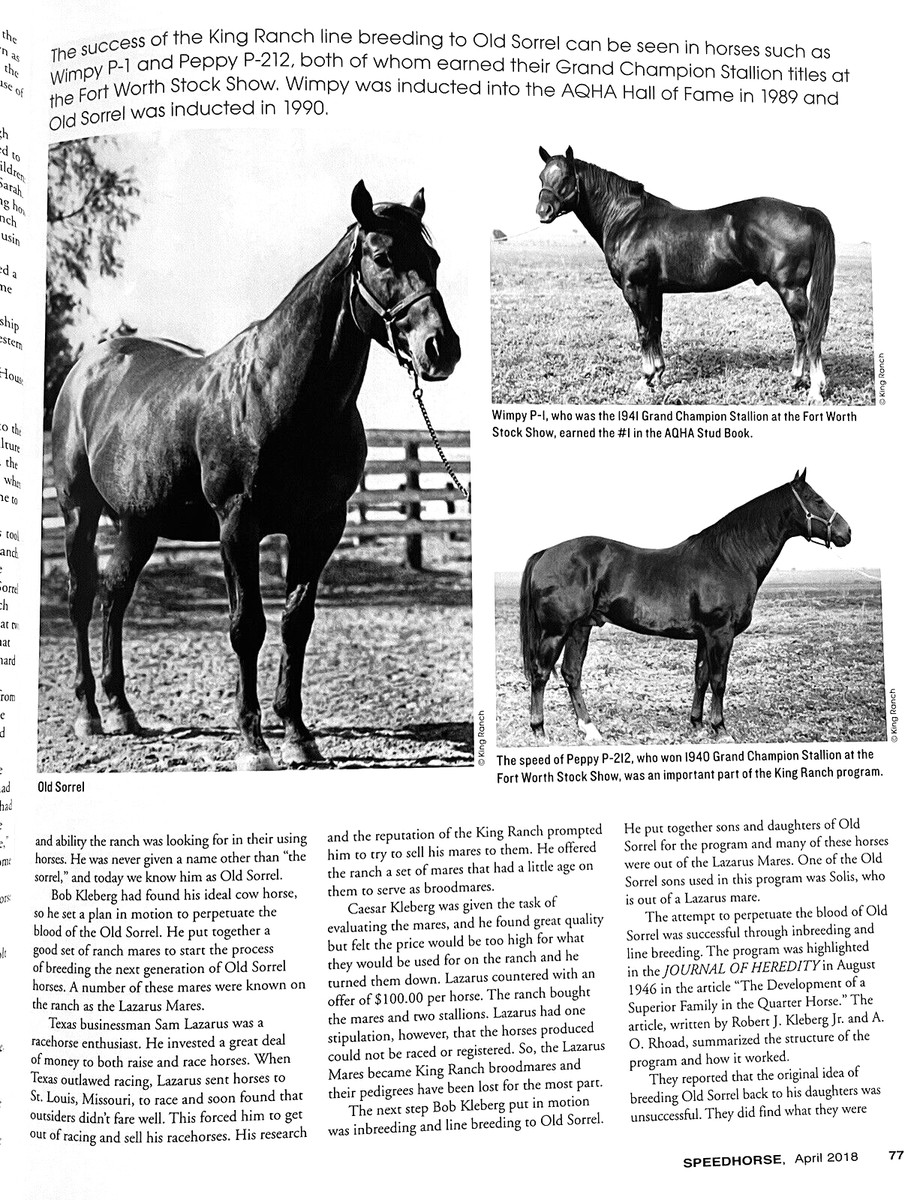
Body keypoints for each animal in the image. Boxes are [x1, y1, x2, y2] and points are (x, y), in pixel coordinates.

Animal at [52, 181, 461, 770]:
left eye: (433, 258)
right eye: (382, 257)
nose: (440, 348)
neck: (283, 393)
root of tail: (89, 367)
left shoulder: (320, 527)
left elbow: (296, 622)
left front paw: (298, 734)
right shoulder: (237, 525)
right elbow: (247, 627)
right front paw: (253, 741)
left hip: (138, 523)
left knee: (115, 595)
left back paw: (122, 711)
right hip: (78, 511)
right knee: (83, 596)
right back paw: (88, 713)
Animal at [519, 471, 850, 744]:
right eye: (817, 499)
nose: (847, 532)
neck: (728, 558)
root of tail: (546, 552)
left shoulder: (705, 635)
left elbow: (701, 678)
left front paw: (697, 724)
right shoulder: (720, 633)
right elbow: (719, 680)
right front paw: (720, 729)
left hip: (580, 627)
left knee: (571, 673)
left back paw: (590, 730)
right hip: (556, 630)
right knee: (541, 673)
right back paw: (539, 730)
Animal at [536, 146, 836, 401]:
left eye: (565, 177)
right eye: (541, 176)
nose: (543, 211)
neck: (628, 219)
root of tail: (805, 211)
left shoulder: (636, 289)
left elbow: (644, 330)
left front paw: (645, 379)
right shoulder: (654, 290)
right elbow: (656, 328)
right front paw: (657, 374)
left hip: (790, 289)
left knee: (808, 330)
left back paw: (815, 390)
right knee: (801, 331)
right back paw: (796, 380)